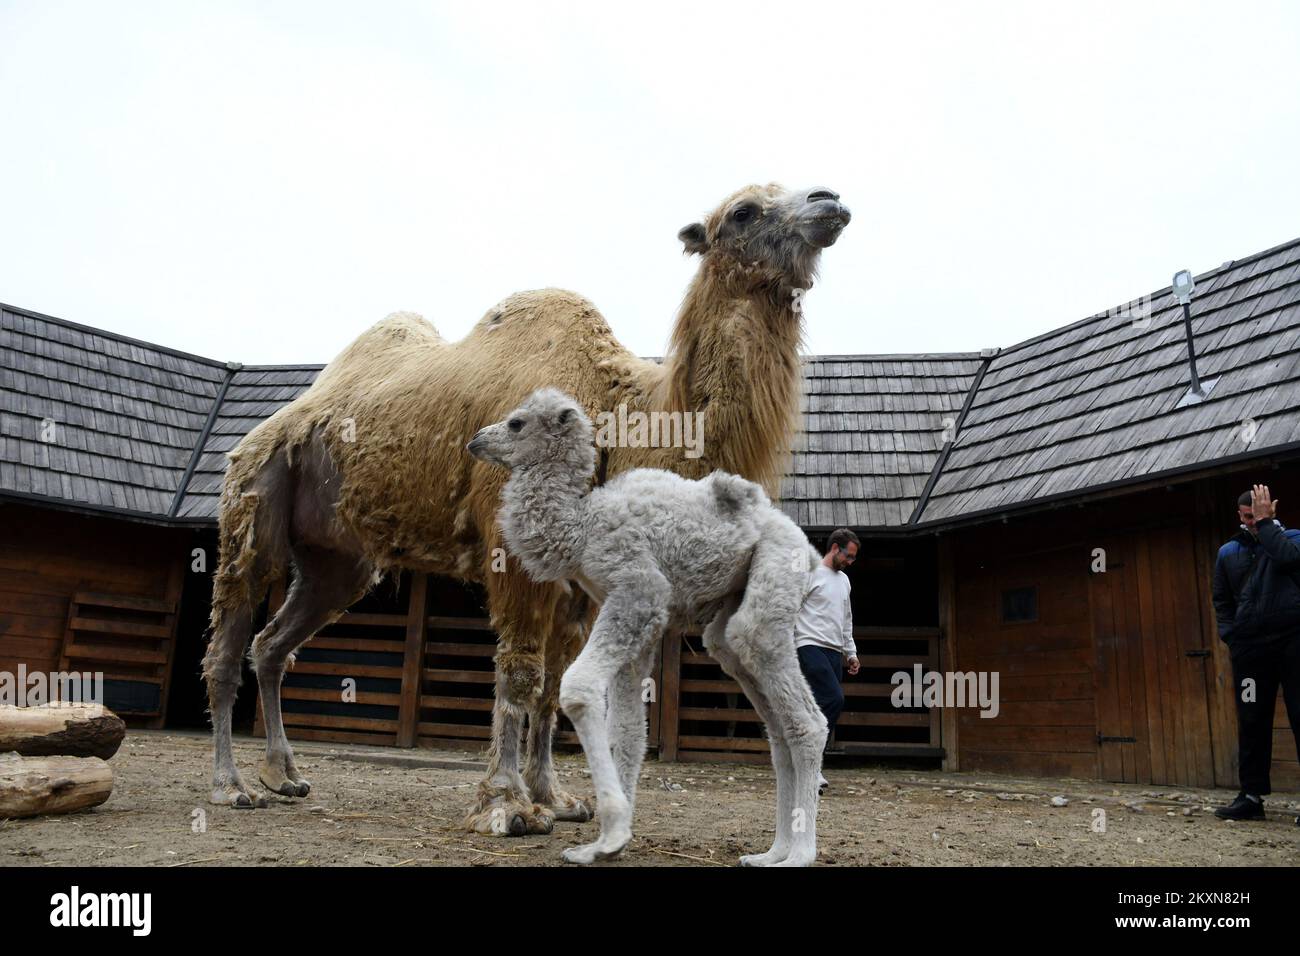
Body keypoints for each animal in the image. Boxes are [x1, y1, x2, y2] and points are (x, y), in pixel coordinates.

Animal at [468, 388, 828, 865]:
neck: (581, 527)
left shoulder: (639, 590)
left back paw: (801, 853)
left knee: (804, 719)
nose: (475, 440)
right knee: (772, 722)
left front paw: (610, 832)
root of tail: (809, 550)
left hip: (773, 578)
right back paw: (771, 853)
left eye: (516, 423)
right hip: (729, 626)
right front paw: (608, 843)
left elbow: (579, 690)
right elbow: (627, 732)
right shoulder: (634, 622)